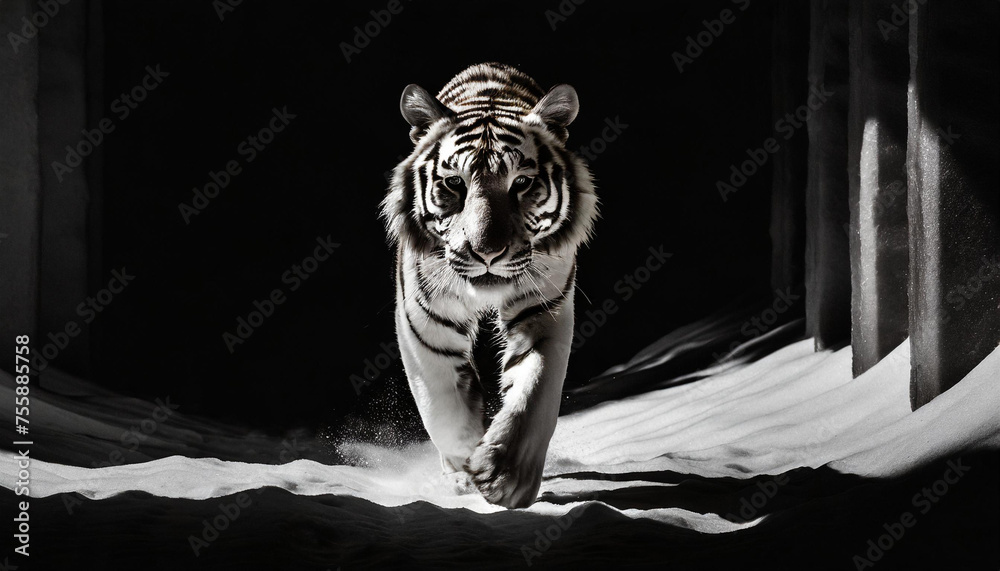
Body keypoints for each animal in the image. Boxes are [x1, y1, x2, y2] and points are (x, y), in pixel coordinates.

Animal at [381, 63, 598, 508]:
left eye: (521, 183)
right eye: (454, 184)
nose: (487, 253)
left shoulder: (543, 311)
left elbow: (534, 393)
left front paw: (504, 475)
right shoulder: (423, 322)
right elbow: (442, 407)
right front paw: (465, 465)